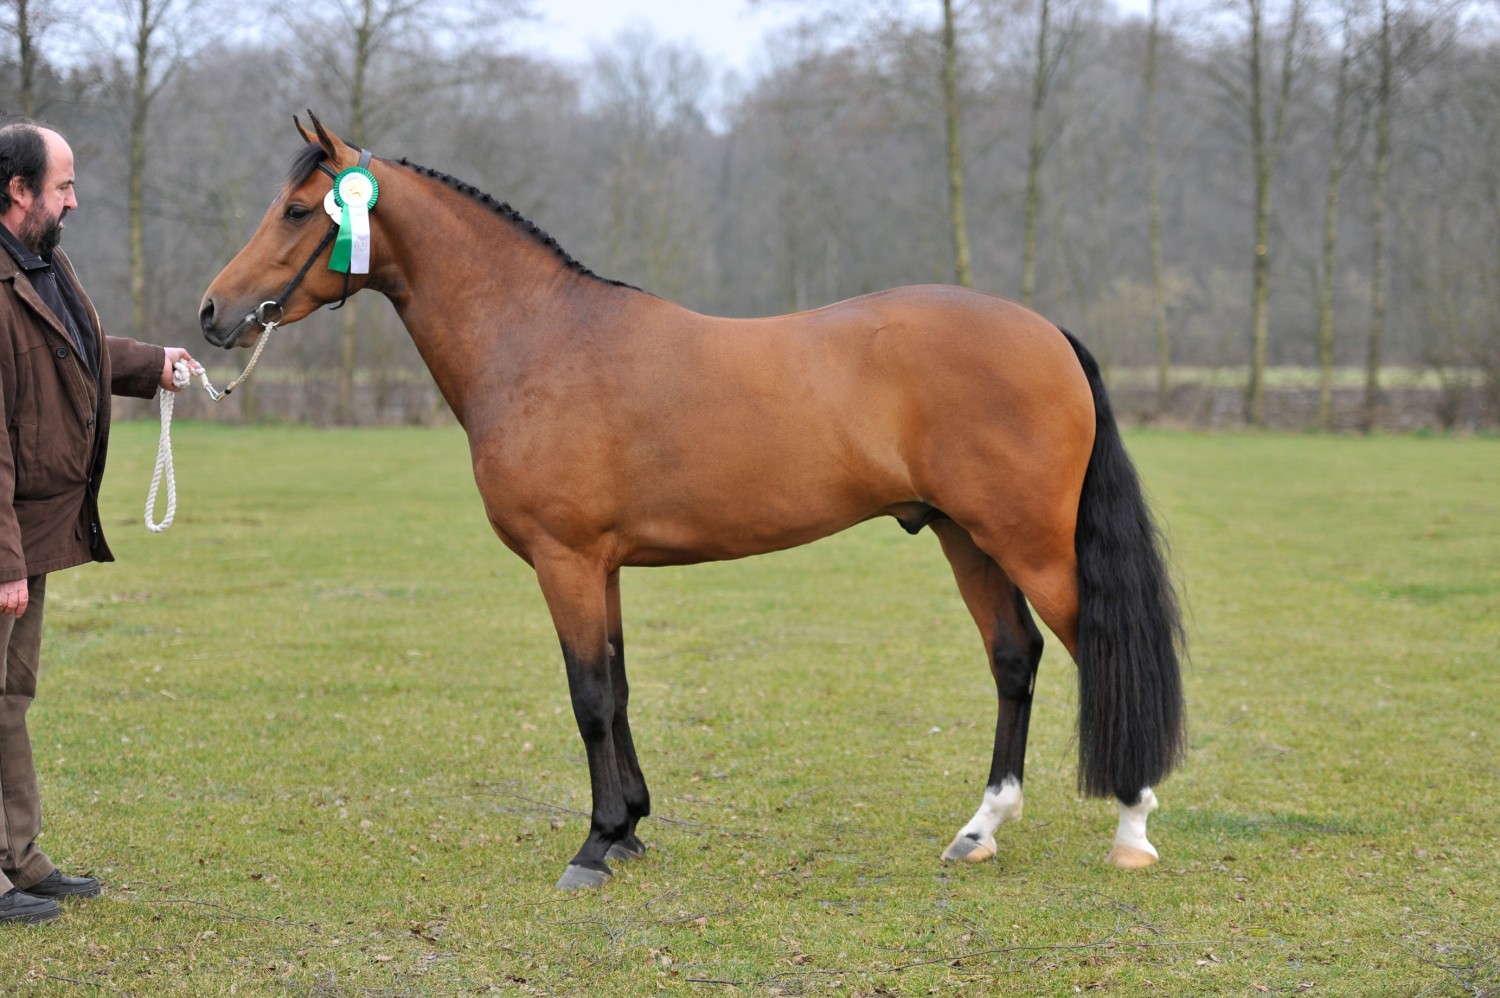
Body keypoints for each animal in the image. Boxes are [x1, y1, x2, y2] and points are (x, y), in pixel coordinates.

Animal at [199, 114, 1185, 891]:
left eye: (298, 210)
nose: (213, 313)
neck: (538, 339)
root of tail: (1046, 331)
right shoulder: (602, 565)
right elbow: (620, 687)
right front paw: (630, 827)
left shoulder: (565, 560)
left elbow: (589, 697)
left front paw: (594, 846)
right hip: (965, 536)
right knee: (1014, 659)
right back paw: (979, 830)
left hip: (1029, 543)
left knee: (1097, 651)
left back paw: (1132, 827)